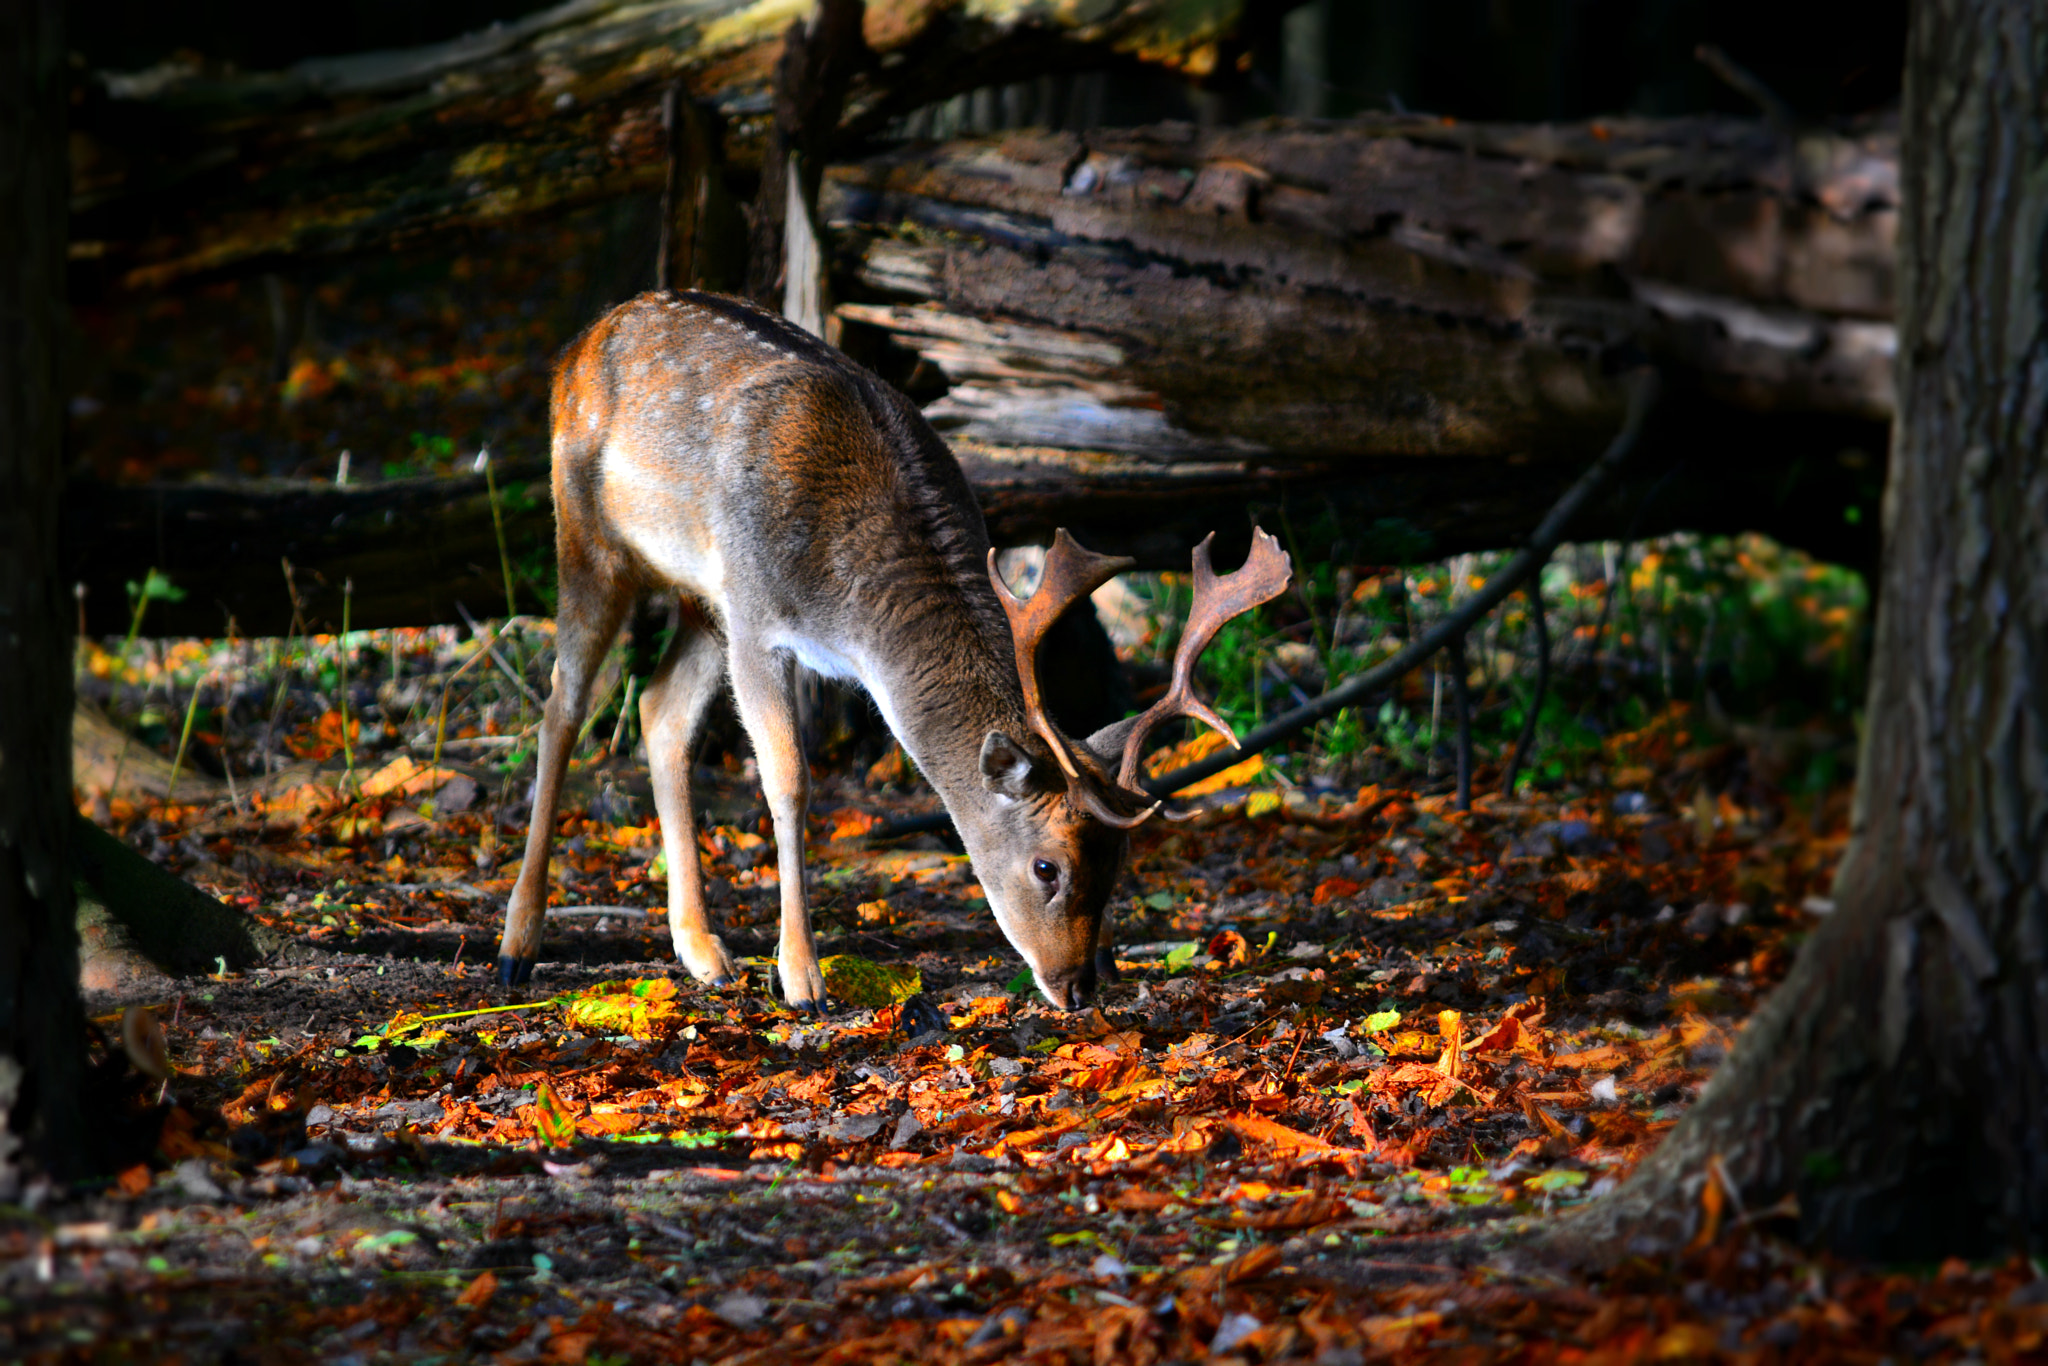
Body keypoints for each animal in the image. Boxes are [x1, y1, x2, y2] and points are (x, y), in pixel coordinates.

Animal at [489, 290, 1286, 1015]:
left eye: (1118, 864)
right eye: (1045, 867)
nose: (1078, 988)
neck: (854, 608)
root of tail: (580, 342)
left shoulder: (738, 609)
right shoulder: (756, 614)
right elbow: (789, 782)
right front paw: (803, 981)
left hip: (697, 596)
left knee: (659, 711)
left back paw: (703, 951)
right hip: (587, 530)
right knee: (560, 706)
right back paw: (516, 947)